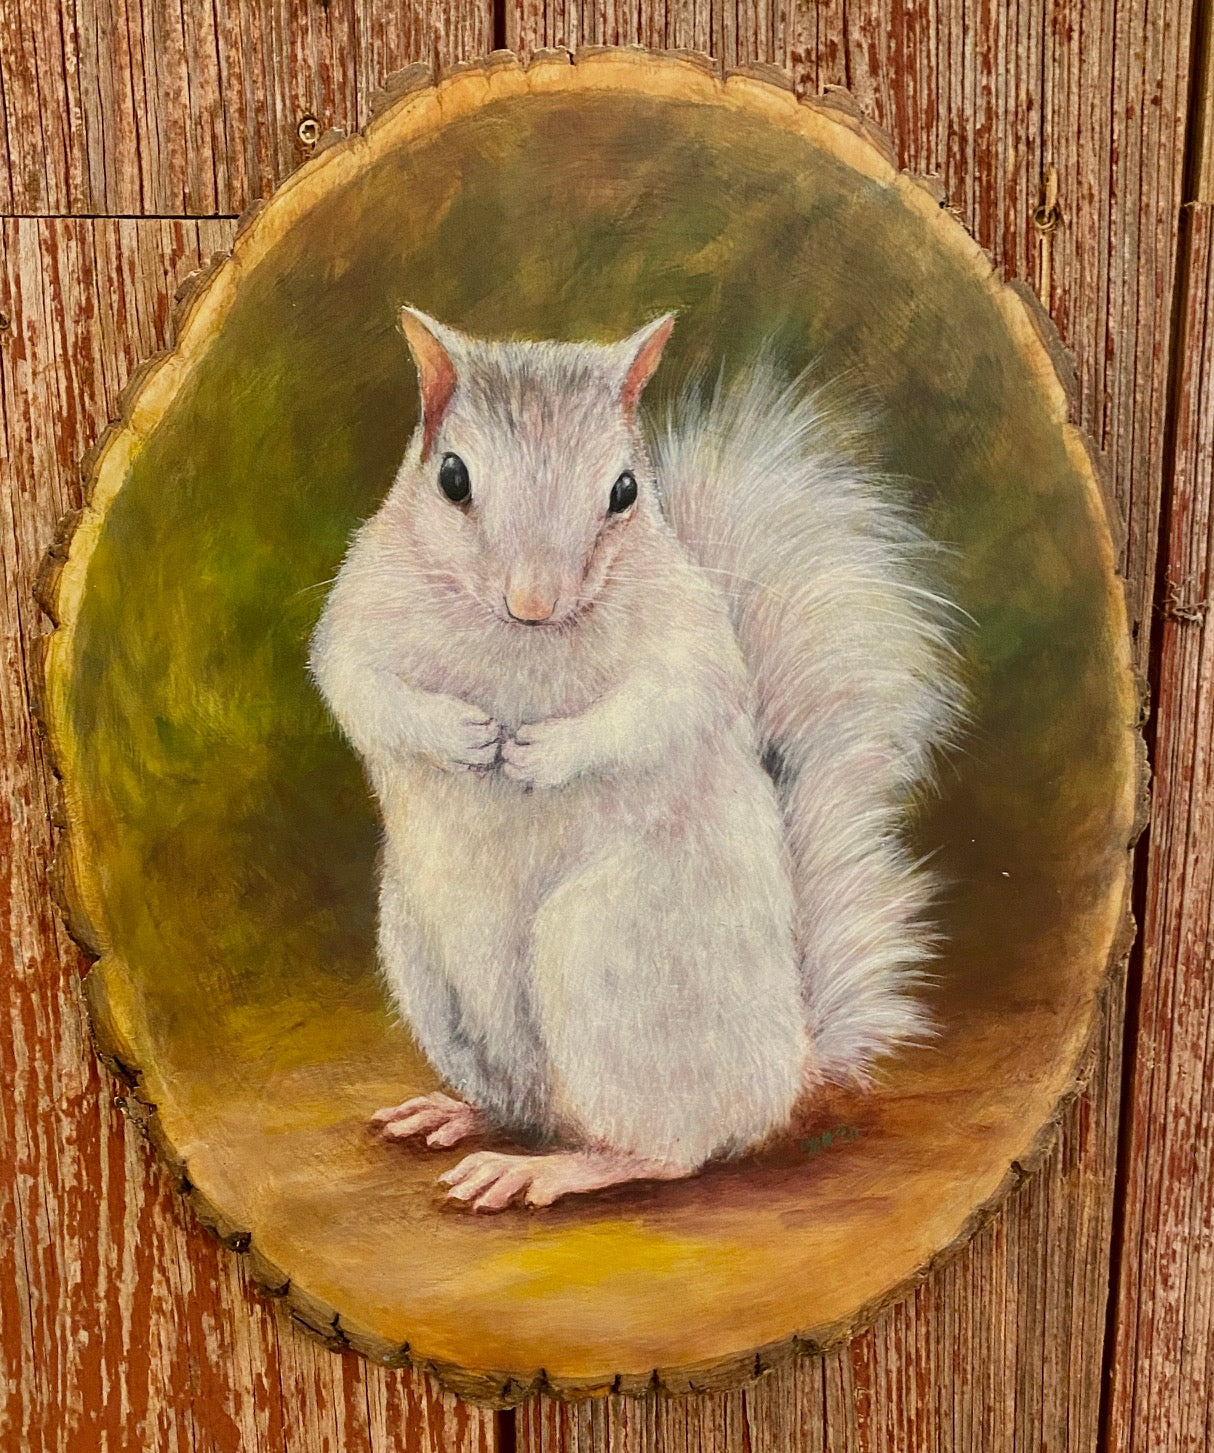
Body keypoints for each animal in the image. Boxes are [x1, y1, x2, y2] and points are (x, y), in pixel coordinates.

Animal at [309, 308, 960, 1212]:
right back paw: (459, 1114)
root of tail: (784, 1071)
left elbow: (663, 705)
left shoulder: (689, 636)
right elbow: (358, 685)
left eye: (624, 490)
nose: (534, 602)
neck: (517, 647)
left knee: (665, 1150)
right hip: (424, 962)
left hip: (606, 957)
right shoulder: (358, 612)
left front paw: (544, 751)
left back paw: (549, 1168)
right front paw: (462, 732)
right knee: (527, 1105)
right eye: (451, 477)